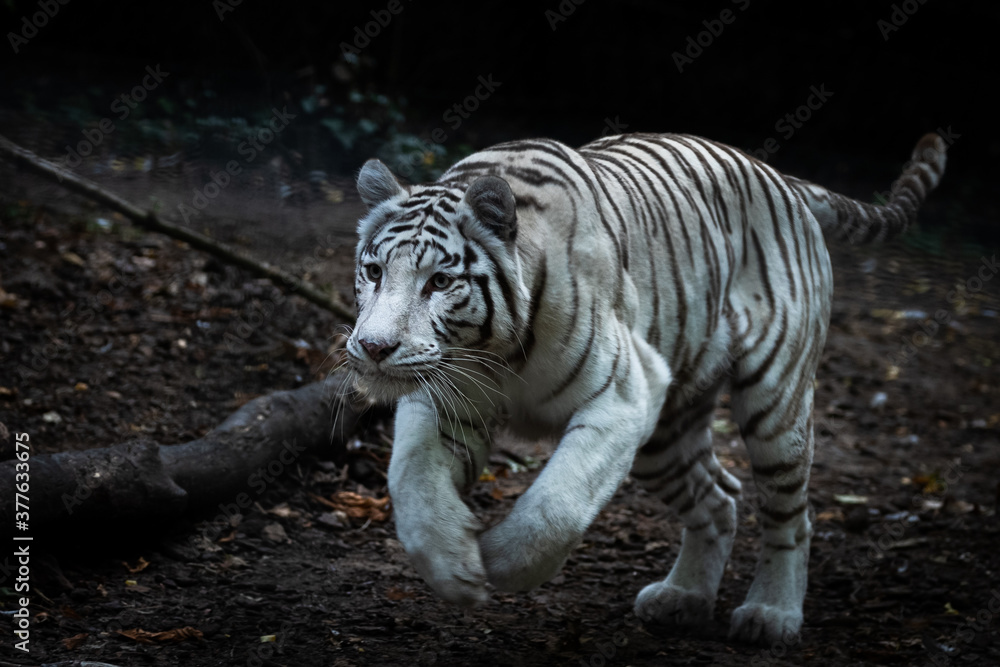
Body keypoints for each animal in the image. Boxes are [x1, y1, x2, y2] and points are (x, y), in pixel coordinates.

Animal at [343, 131, 947, 644]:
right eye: (374, 272)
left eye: (440, 281)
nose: (373, 347)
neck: (492, 352)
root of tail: (784, 178)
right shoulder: (442, 398)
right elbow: (412, 484)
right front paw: (455, 569)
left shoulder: (625, 391)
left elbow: (556, 505)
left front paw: (497, 560)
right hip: (666, 433)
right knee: (719, 498)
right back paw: (683, 598)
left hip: (775, 401)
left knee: (791, 513)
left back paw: (772, 614)